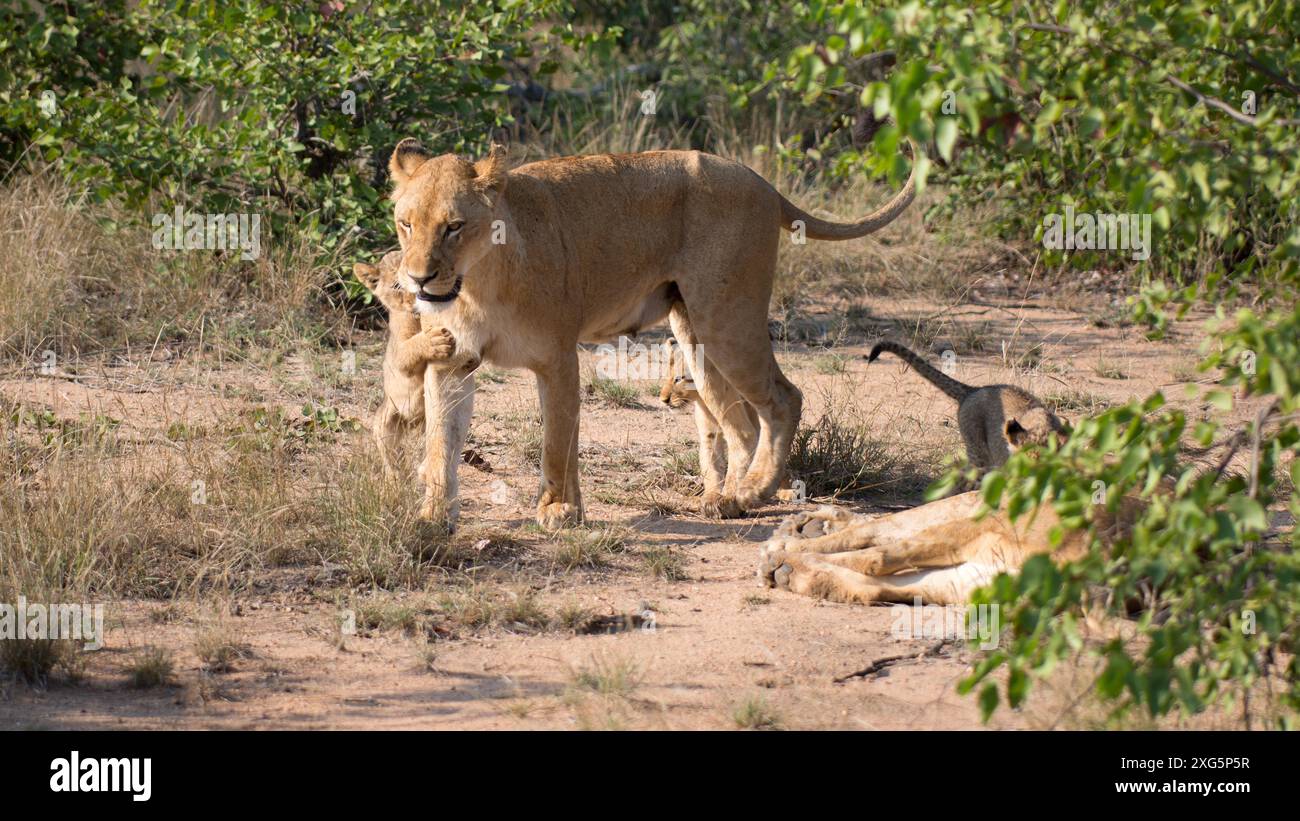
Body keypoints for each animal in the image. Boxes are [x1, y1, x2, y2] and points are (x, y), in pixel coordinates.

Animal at [387, 138, 917, 529]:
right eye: (405, 224)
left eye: (454, 226)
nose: (417, 279)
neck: (477, 283)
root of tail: (763, 183)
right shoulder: (451, 360)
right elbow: (441, 443)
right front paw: (433, 516)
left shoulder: (558, 357)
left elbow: (556, 443)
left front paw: (557, 509)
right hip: (695, 336)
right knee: (742, 423)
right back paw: (727, 500)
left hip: (726, 318)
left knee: (785, 398)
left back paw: (754, 490)